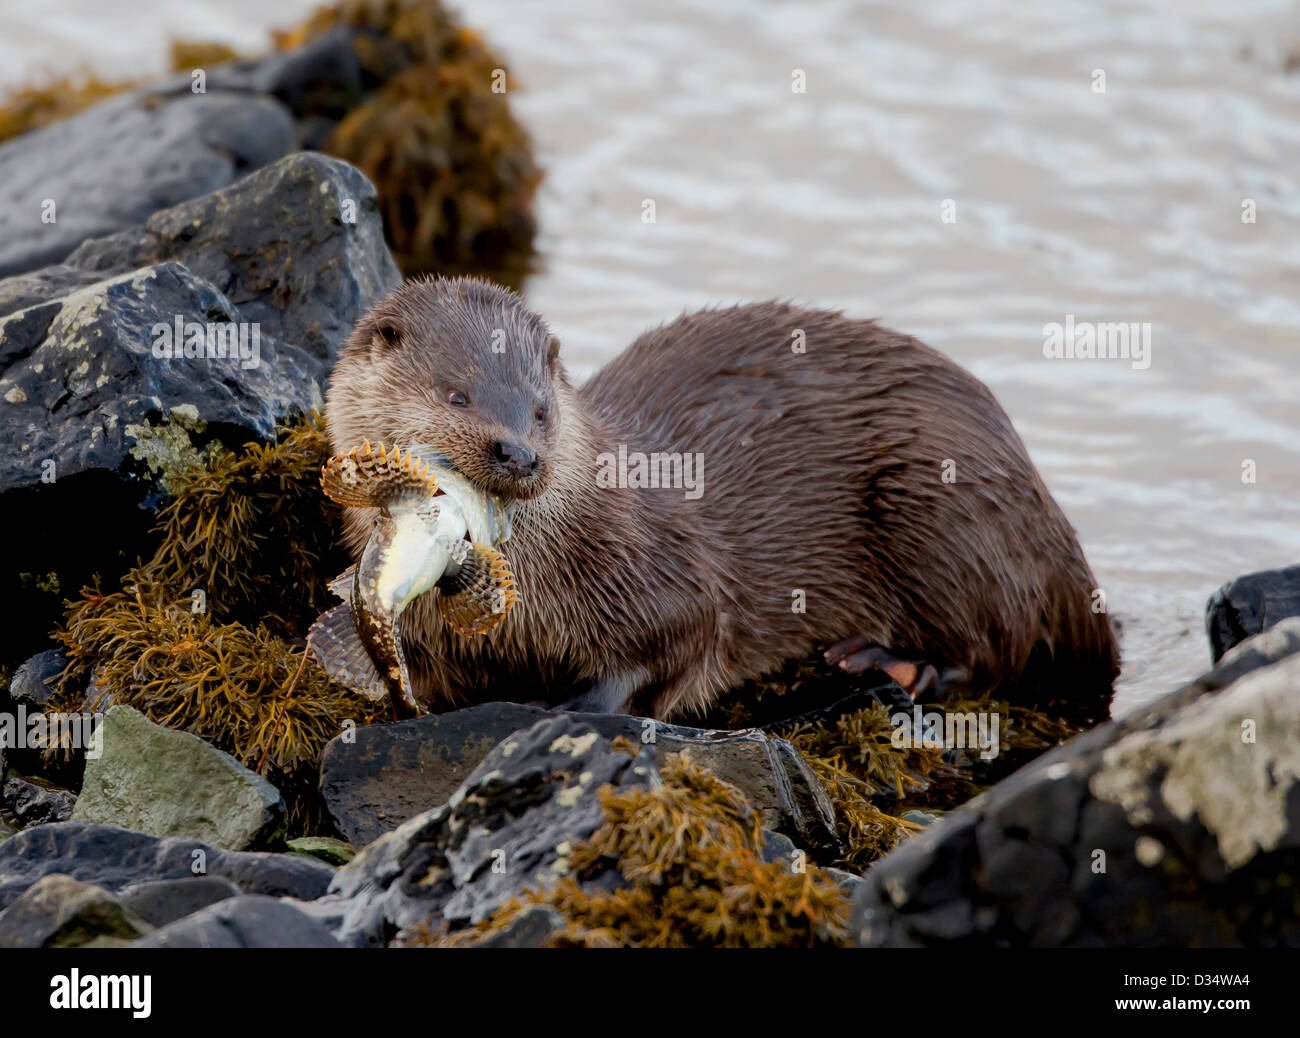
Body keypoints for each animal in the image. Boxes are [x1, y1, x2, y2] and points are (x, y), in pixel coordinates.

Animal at [324, 276, 1119, 720]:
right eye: (457, 396)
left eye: (540, 410)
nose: (520, 454)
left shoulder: (661, 569)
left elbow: (675, 643)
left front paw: (569, 702)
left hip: (945, 504)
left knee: (997, 642)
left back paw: (885, 661)